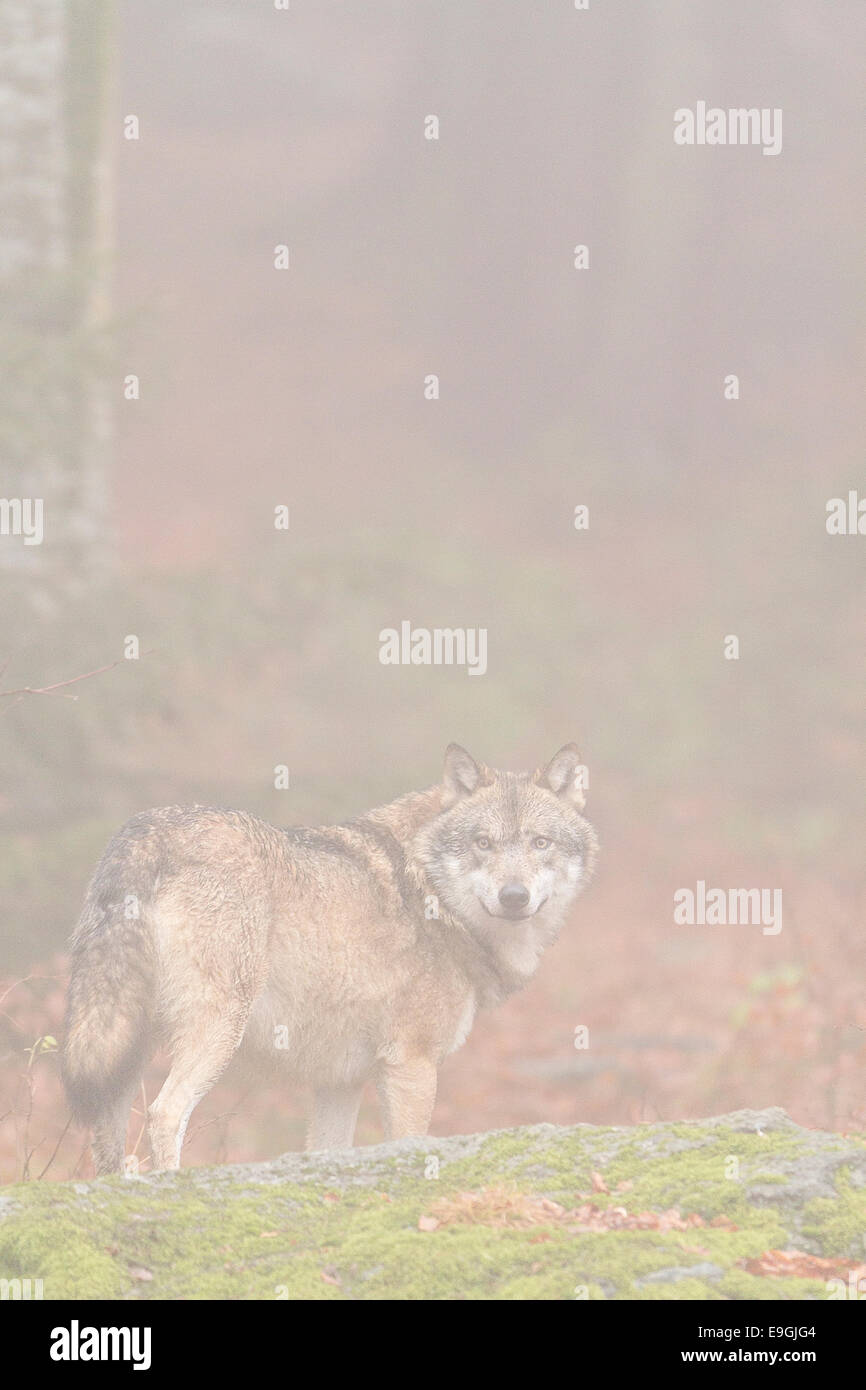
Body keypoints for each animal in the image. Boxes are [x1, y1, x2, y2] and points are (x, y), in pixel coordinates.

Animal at [62, 744, 598, 1174]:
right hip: (216, 1028)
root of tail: (145, 830)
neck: (432, 893)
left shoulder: (340, 1081)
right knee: (165, 1114)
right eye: (483, 843)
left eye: (540, 843)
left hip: (124, 1047)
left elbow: (327, 1152)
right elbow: (410, 1141)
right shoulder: (412, 1064)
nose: (514, 897)